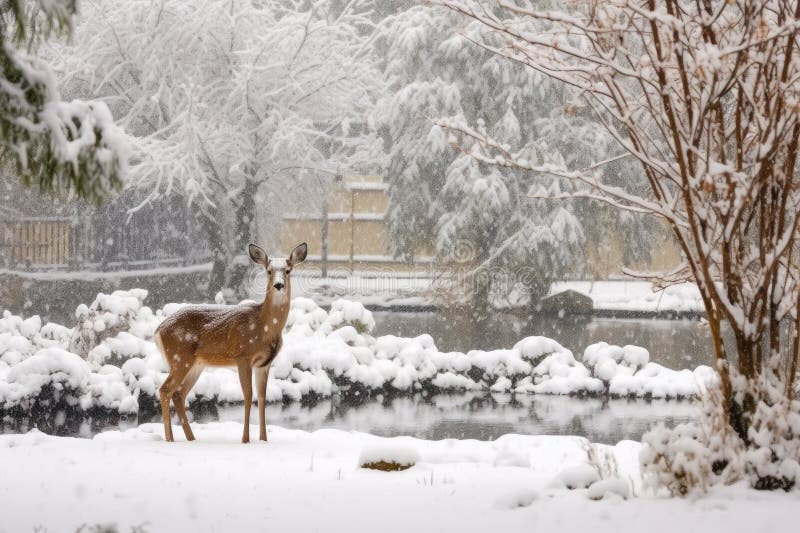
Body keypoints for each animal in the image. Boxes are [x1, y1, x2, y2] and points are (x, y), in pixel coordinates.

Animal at [154, 242, 307, 443]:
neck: (263, 327)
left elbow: (262, 397)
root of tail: (158, 331)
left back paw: (192, 439)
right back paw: (170, 439)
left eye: (288, 271)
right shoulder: (242, 355)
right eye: (268, 271)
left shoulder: (264, 364)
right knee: (165, 390)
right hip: (179, 357)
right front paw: (245, 439)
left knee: (179, 394)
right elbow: (248, 395)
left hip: (196, 364)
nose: (278, 285)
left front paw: (264, 439)